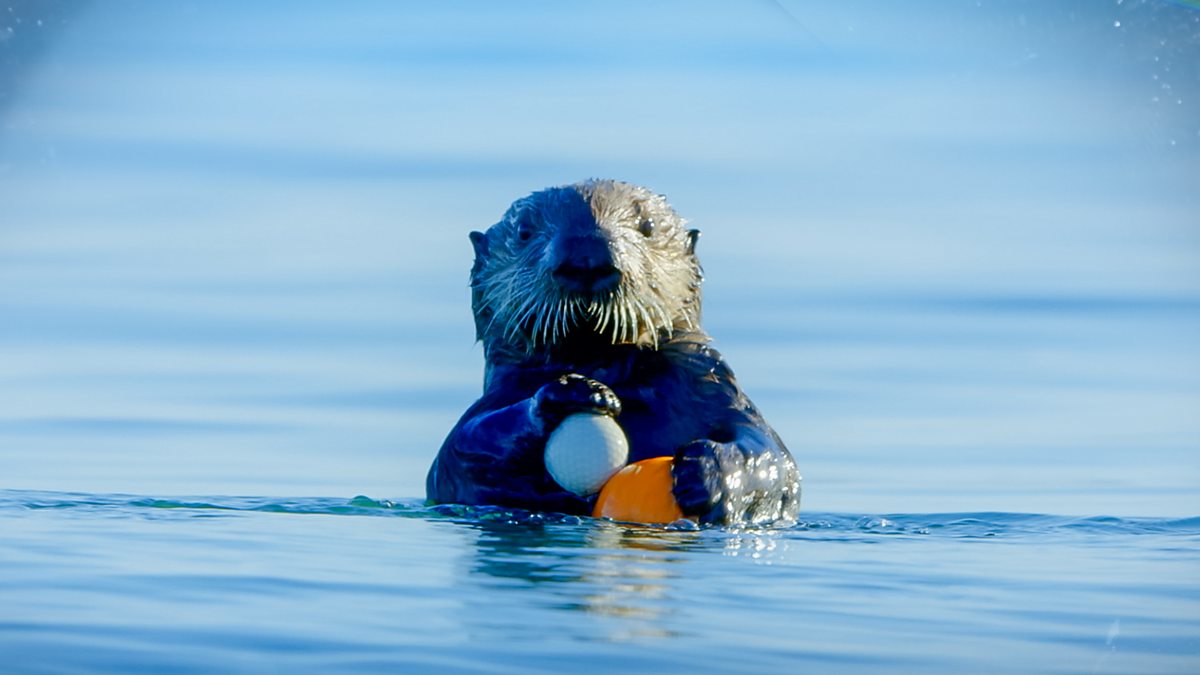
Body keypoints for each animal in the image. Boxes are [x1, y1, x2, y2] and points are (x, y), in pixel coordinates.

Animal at [425, 179, 801, 526]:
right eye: (523, 231)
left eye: (647, 225)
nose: (586, 255)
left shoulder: (713, 386)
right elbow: (468, 444)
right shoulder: (490, 410)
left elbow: (774, 458)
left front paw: (707, 471)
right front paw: (576, 393)